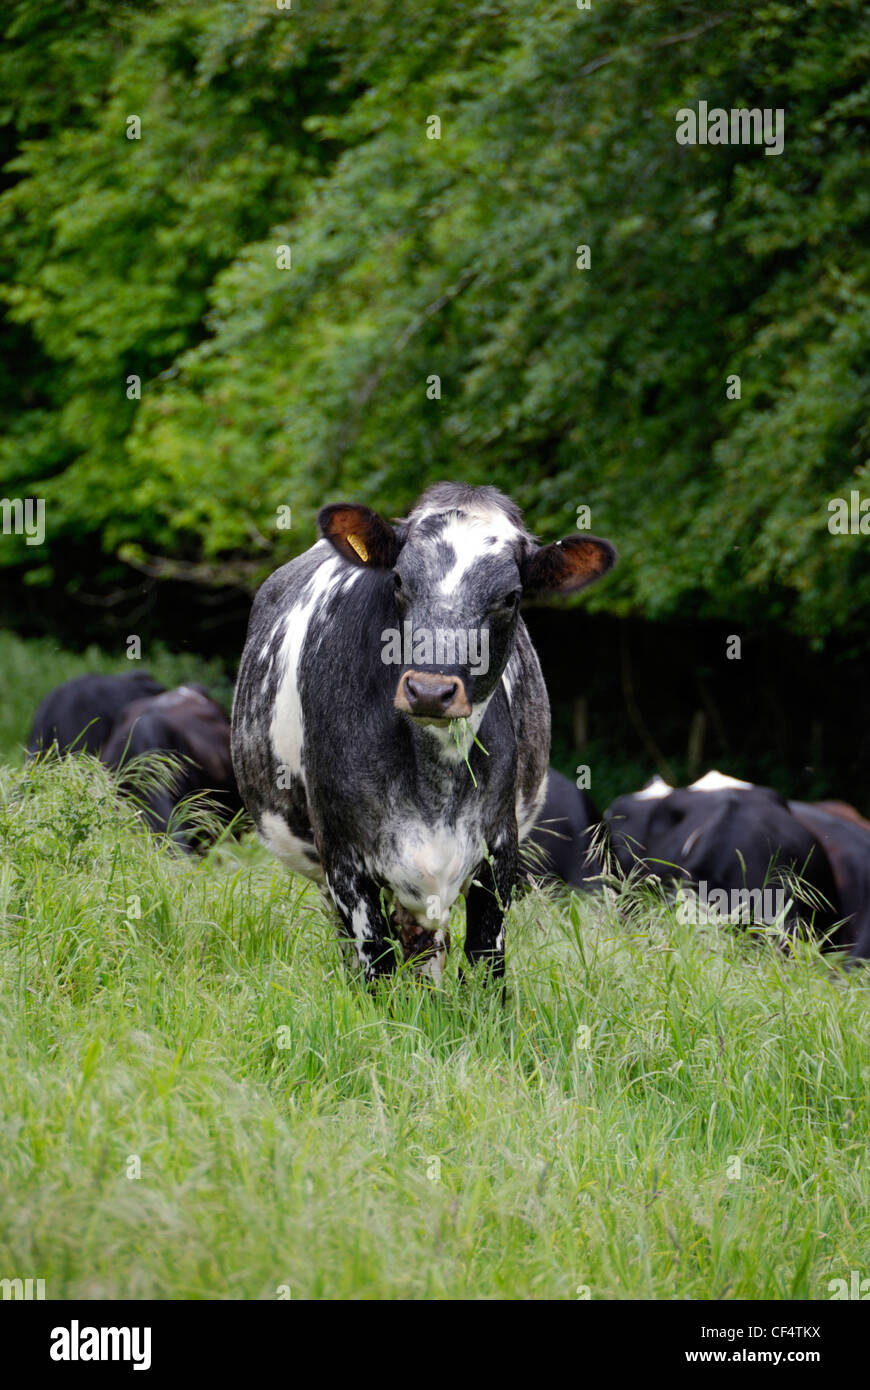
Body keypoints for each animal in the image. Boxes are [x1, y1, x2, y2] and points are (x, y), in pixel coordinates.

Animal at [231, 482, 616, 984]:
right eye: (398, 580)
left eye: (511, 597)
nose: (431, 690)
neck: (435, 773)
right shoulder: (346, 864)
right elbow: (375, 967)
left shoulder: (498, 852)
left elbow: (485, 965)